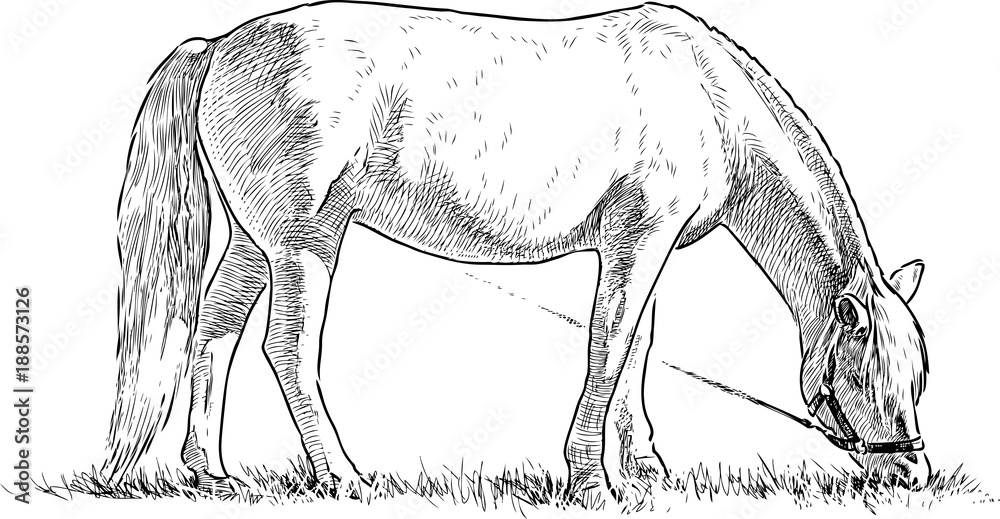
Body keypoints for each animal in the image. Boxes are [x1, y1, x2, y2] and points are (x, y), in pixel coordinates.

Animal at [105, 1, 931, 503]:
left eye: (918, 374)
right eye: (864, 372)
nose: (910, 470)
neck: (709, 99)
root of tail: (219, 46)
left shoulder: (644, 247)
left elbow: (635, 350)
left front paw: (644, 471)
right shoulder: (638, 240)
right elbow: (608, 346)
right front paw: (592, 482)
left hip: (255, 242)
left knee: (213, 331)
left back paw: (210, 473)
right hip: (304, 243)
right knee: (286, 349)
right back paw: (342, 476)